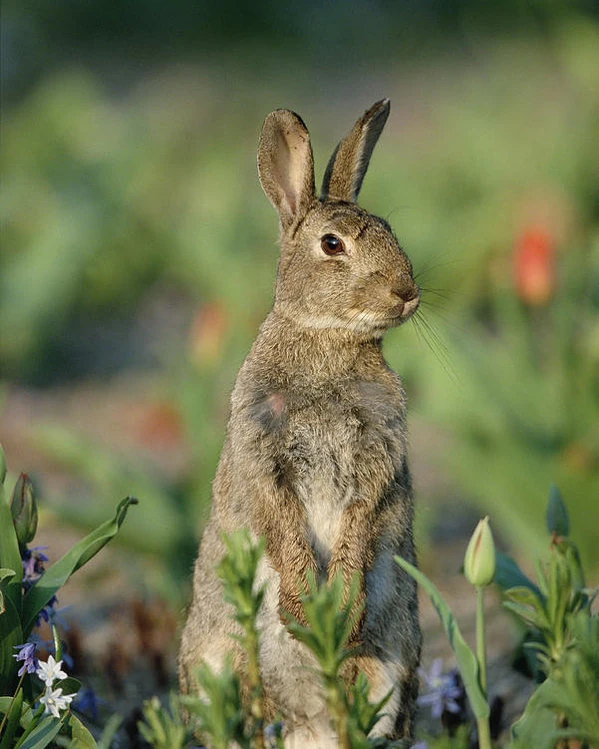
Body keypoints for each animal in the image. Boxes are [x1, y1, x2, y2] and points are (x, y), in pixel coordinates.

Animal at [179, 99, 422, 748]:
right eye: (332, 244)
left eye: (390, 230)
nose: (407, 291)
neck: (326, 337)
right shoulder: (264, 454)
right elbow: (283, 524)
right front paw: (305, 608)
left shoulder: (379, 459)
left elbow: (362, 524)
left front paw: (339, 607)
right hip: (216, 663)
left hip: (392, 671)